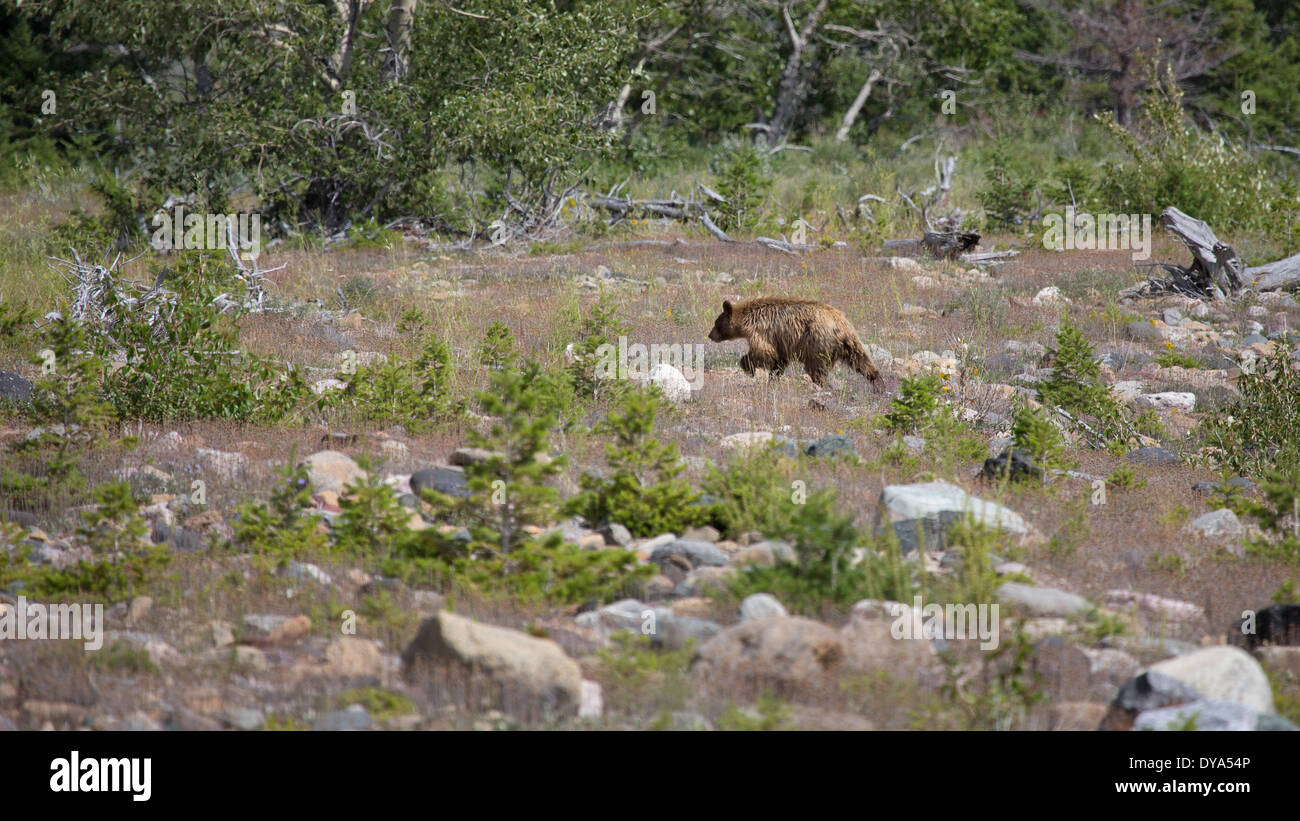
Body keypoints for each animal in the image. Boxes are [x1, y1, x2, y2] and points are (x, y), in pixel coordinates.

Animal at [706, 296, 881, 387]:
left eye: (715, 323)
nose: (710, 335)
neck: (746, 320)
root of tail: (841, 325)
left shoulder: (761, 331)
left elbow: (764, 352)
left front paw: (749, 368)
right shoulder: (781, 343)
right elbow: (779, 360)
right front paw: (773, 378)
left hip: (817, 343)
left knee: (816, 369)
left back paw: (820, 384)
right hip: (851, 344)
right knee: (862, 361)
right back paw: (877, 381)